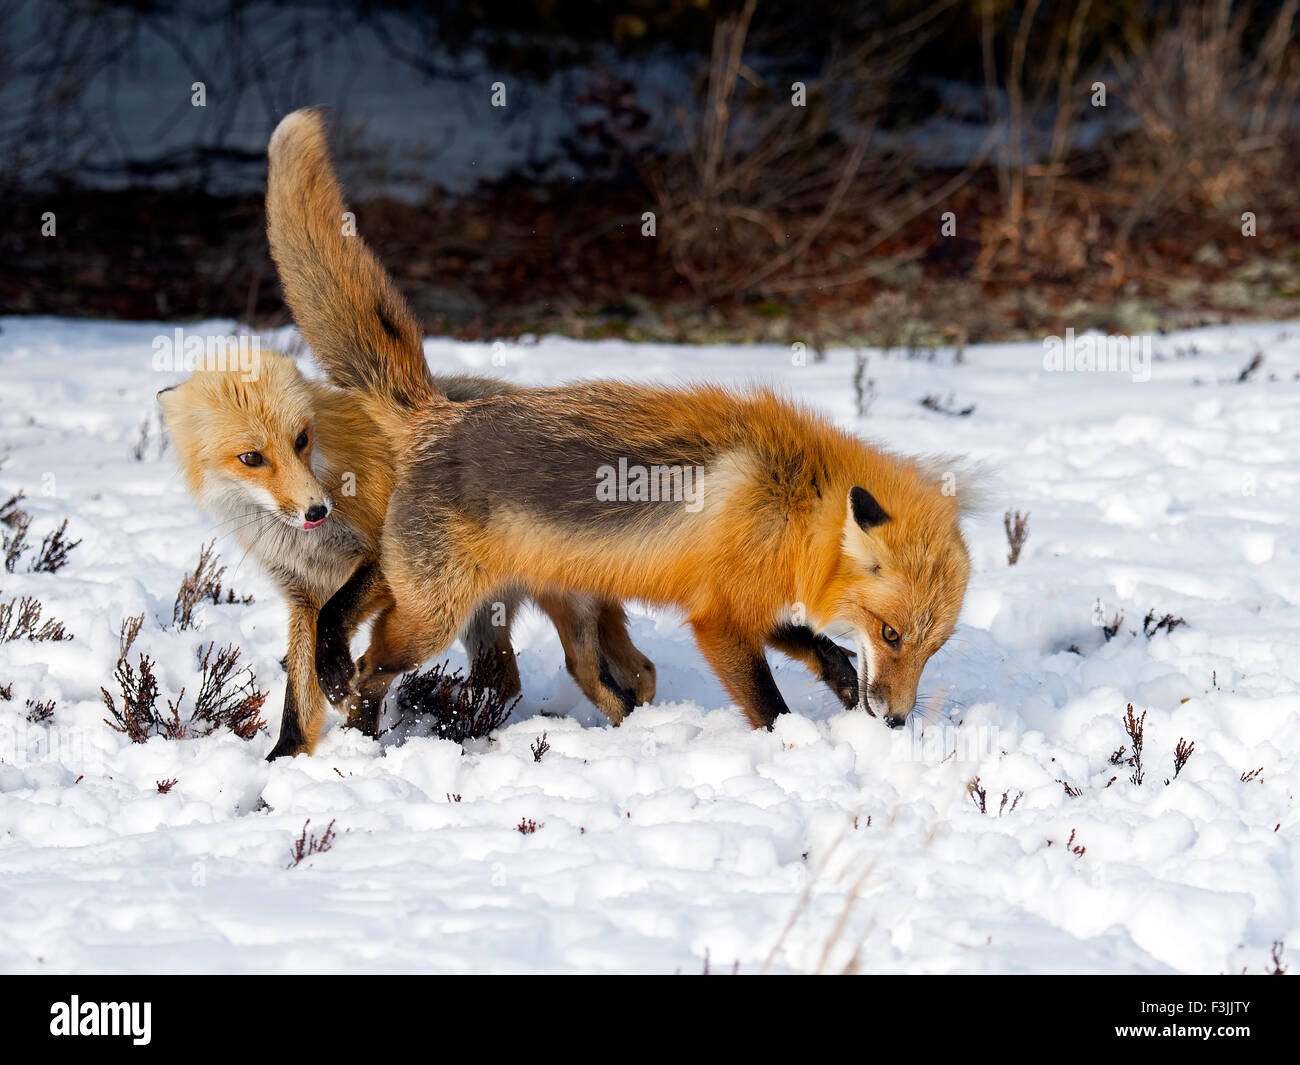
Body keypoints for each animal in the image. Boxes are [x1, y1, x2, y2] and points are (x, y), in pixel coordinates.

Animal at [158, 356, 658, 759]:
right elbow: (298, 702)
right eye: (251, 458)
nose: (316, 511)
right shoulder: (303, 594)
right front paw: (283, 764)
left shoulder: (381, 565)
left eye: (301, 439)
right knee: (517, 678)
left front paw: (339, 684)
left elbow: (335, 626)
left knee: (578, 672)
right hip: (477, 607)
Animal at [267, 108, 970, 734]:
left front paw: (845, 683)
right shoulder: (718, 618)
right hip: (435, 615)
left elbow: (817, 646)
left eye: (931, 647)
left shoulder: (748, 599)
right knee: (371, 667)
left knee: (580, 668)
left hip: (537, 595)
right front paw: (795, 749)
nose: (898, 719)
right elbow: (768, 705)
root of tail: (436, 413)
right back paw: (354, 709)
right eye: (891, 633)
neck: (793, 495)